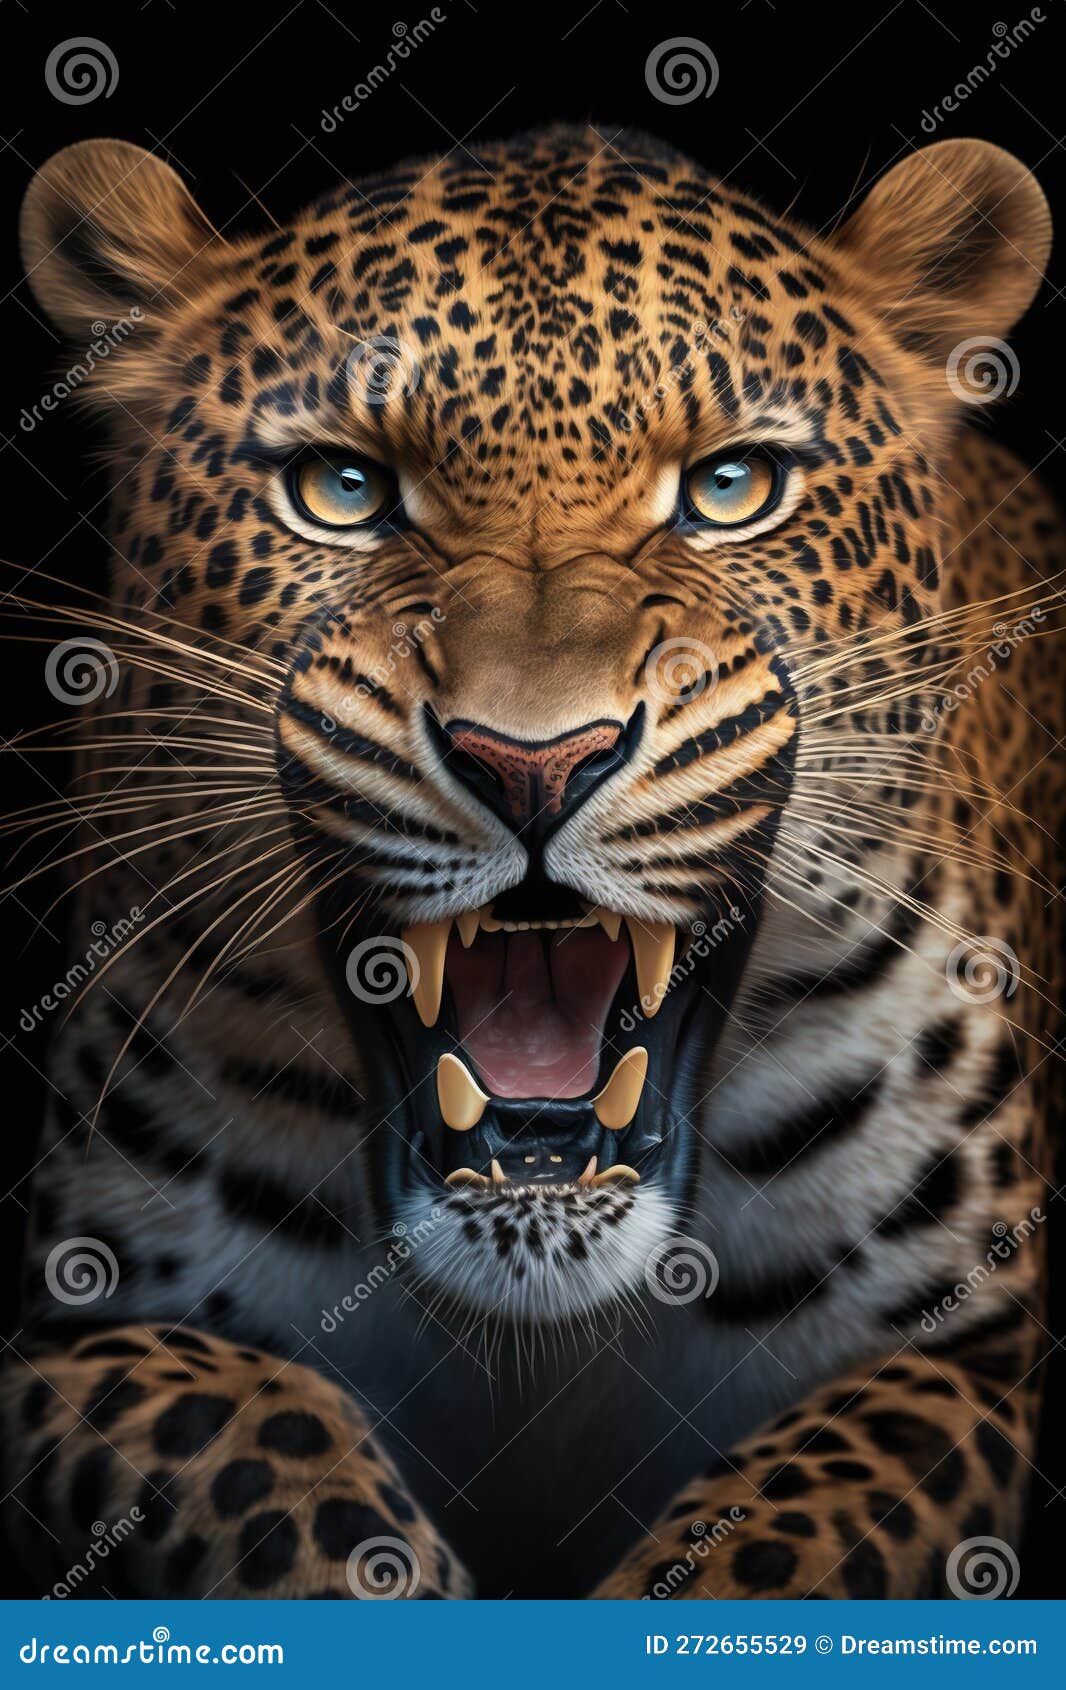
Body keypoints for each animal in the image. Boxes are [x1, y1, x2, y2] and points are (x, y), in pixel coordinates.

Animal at [1, 122, 1062, 1600]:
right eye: (342, 490)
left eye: (730, 487)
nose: (532, 761)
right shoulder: (86, 1325)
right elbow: (266, 1449)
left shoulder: (957, 1357)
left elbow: (781, 1540)